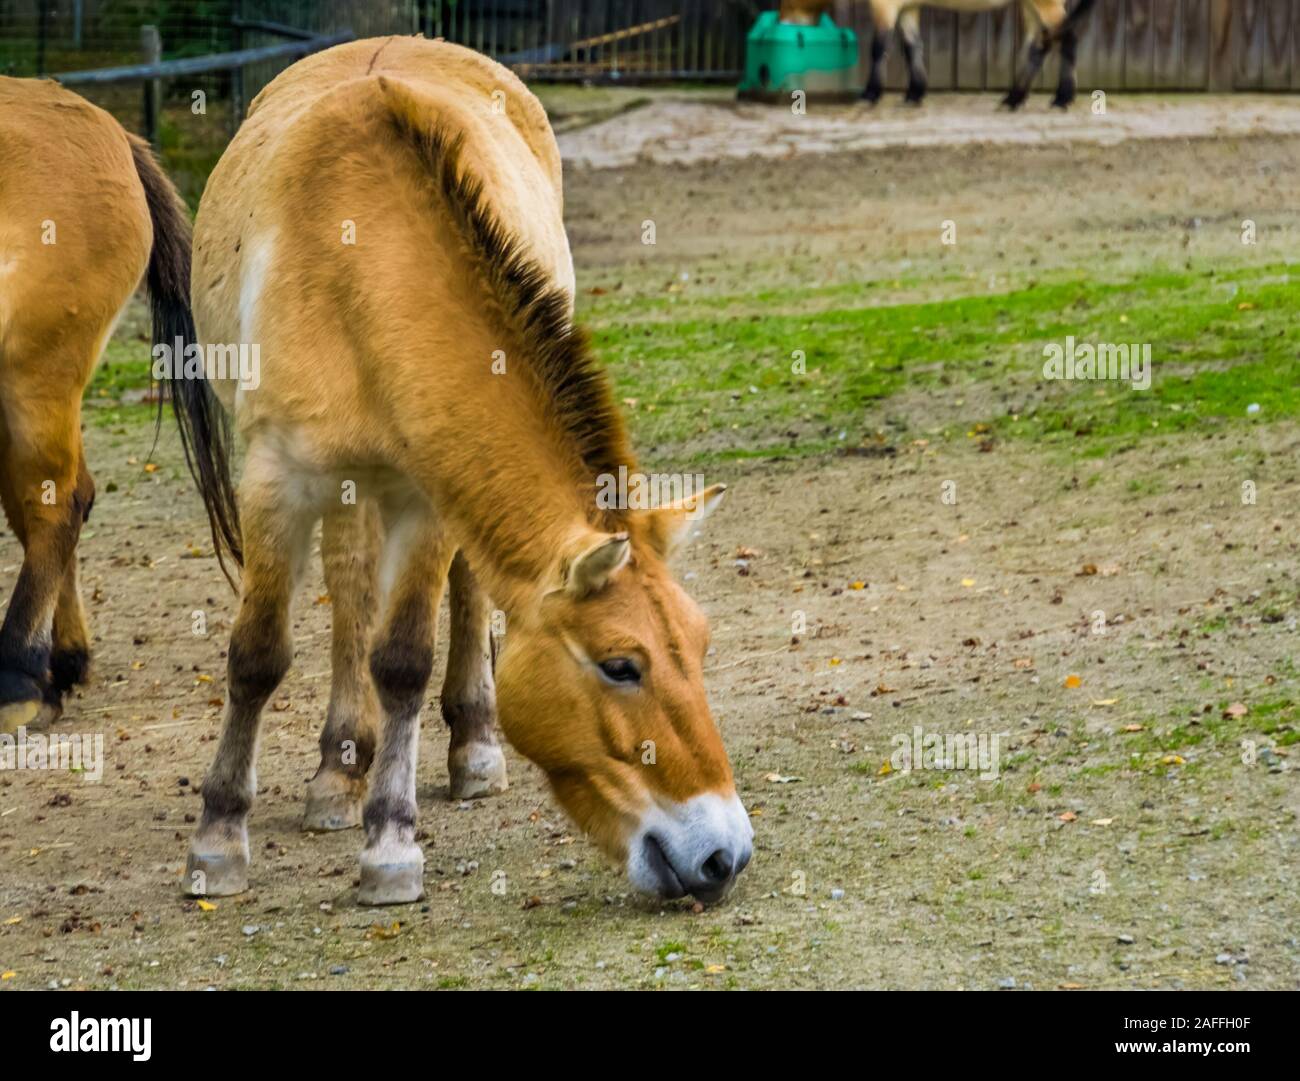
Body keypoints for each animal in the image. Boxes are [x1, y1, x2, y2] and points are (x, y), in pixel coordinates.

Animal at [181, 36, 754, 906]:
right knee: (349, 581)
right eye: (621, 664)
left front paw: (391, 844)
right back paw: (337, 769)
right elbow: (256, 653)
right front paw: (218, 840)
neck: (359, 265)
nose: (724, 854)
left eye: (702, 643)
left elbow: (403, 656)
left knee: (453, 588)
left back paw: (471, 746)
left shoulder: (426, 493)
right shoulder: (275, 477)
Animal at [860, 0, 1099, 109]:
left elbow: (878, 48)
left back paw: (1062, 98)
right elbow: (912, 48)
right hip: (1030, 5)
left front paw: (870, 94)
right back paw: (1014, 98)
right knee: (1038, 46)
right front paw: (914, 94)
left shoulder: (884, 6)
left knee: (1067, 40)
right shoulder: (907, 8)